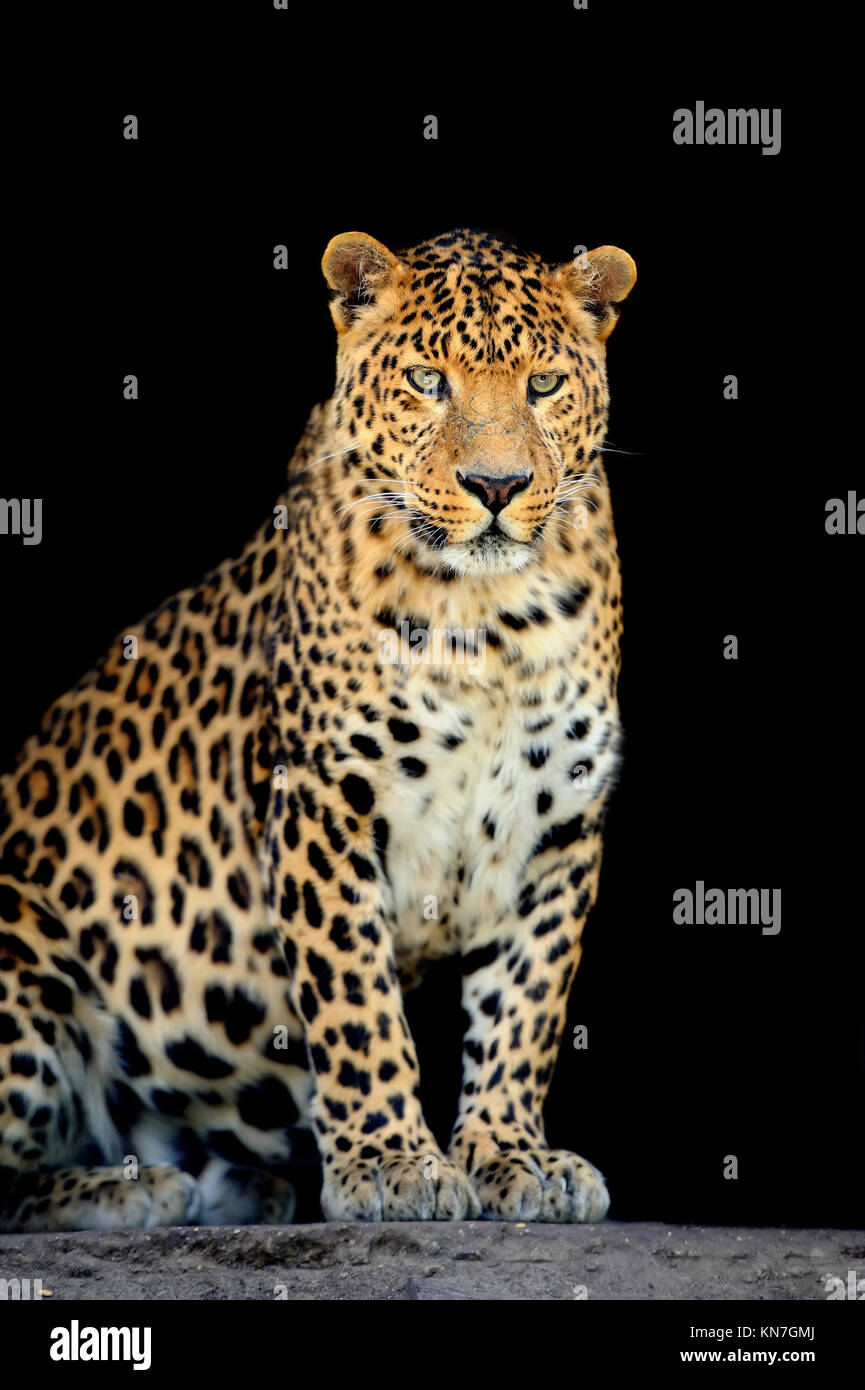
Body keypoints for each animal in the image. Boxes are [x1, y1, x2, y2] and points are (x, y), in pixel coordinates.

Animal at [0, 227, 636, 1231]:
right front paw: (390, 1162)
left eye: (542, 384)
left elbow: (524, 1008)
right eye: (426, 379)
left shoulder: (558, 826)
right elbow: (355, 1001)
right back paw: (124, 1189)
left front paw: (512, 1155)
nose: (496, 485)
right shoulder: (324, 802)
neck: (487, 621)